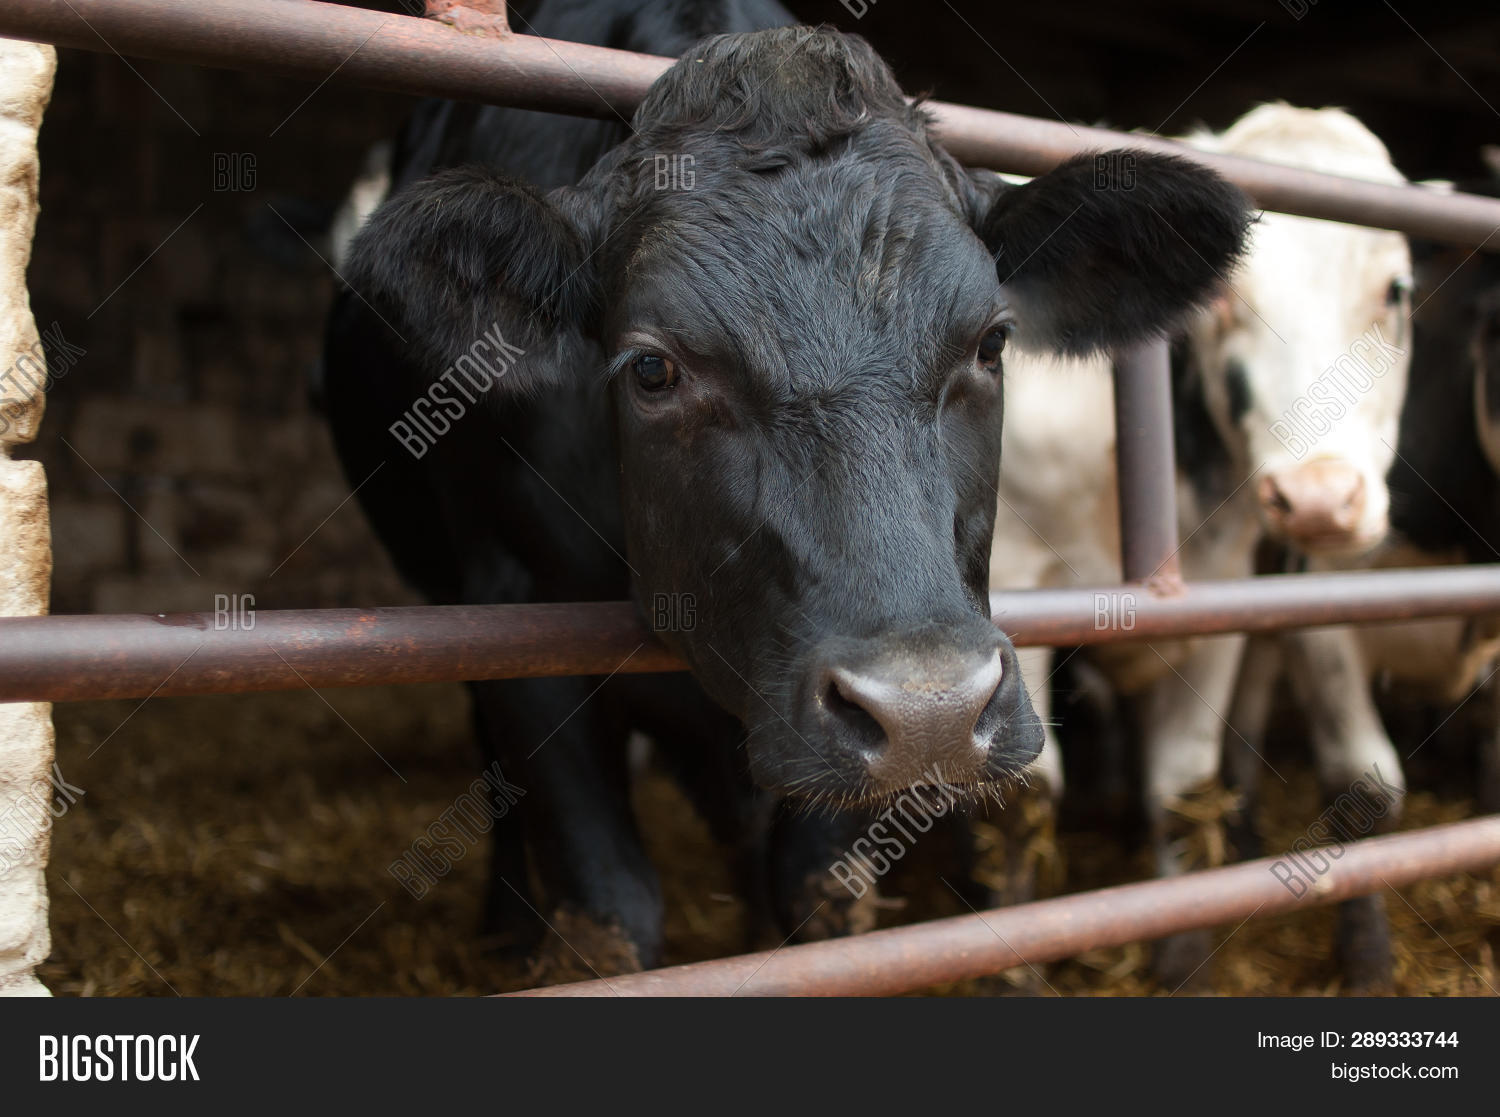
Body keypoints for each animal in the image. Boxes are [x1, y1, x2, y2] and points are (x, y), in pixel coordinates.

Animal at [322, 0, 1250, 975]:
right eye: (652, 367)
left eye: (992, 341)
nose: (931, 710)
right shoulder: (517, 622)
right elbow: (610, 908)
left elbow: (818, 895)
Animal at [990, 103, 1412, 987]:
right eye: (1222, 294)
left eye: (1395, 290)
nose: (1320, 498)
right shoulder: (1014, 585)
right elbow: (1026, 800)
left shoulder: (1219, 595)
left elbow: (1184, 783)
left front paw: (1182, 956)